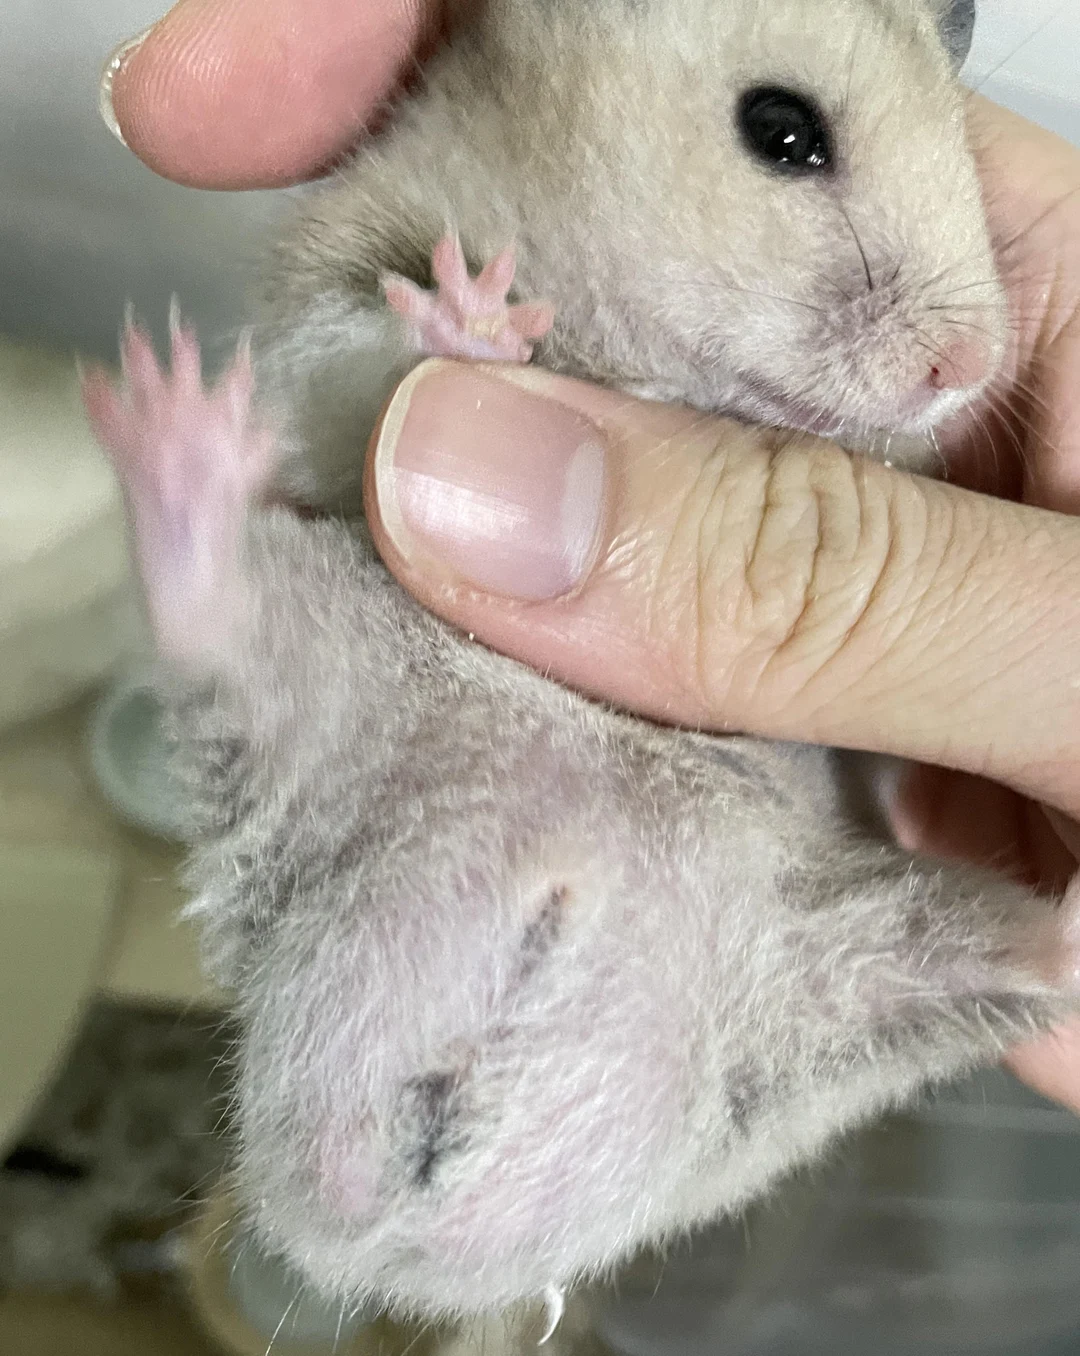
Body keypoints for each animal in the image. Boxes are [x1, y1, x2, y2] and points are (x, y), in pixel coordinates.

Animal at [83, 0, 1079, 1328]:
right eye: (783, 130)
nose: (966, 371)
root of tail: (367, 1232)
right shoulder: (330, 300)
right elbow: (358, 366)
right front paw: (473, 317)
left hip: (863, 972)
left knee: (1016, 959)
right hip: (313, 665)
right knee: (210, 615)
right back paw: (169, 419)